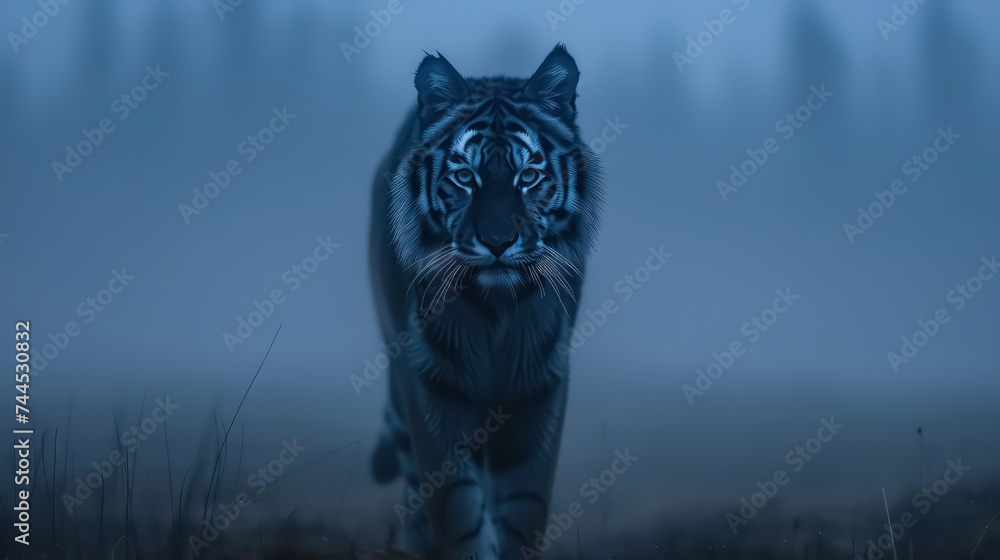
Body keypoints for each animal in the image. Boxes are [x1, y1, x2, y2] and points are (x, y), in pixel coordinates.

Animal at [367, 44, 603, 559]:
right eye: (464, 176)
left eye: (528, 176)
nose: (498, 241)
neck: (498, 309)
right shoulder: (430, 379)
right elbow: (454, 501)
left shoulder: (541, 382)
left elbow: (525, 502)